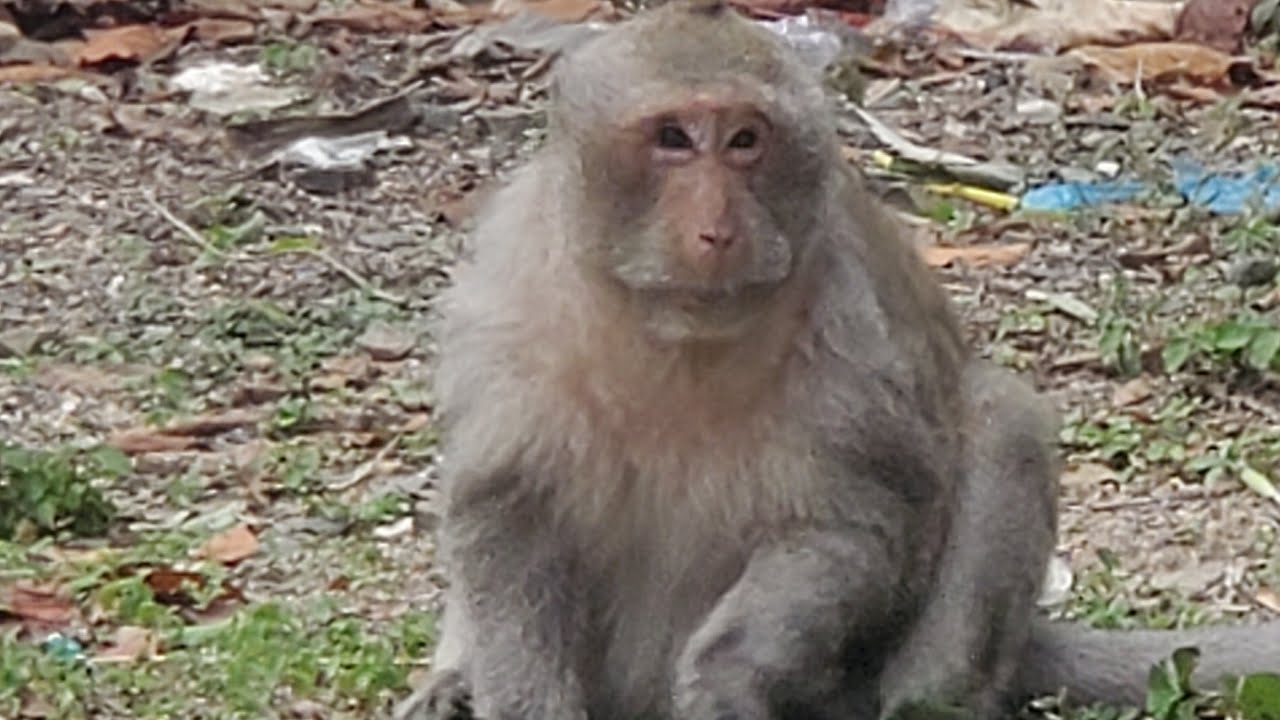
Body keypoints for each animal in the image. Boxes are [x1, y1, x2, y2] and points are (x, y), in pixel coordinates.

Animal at [394, 2, 1280, 719]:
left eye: (745, 141)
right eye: (673, 139)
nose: (717, 228)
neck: (669, 336)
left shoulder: (849, 324)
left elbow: (848, 525)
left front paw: (722, 679)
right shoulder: (506, 303)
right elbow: (503, 509)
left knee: (1002, 422)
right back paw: (453, 683)